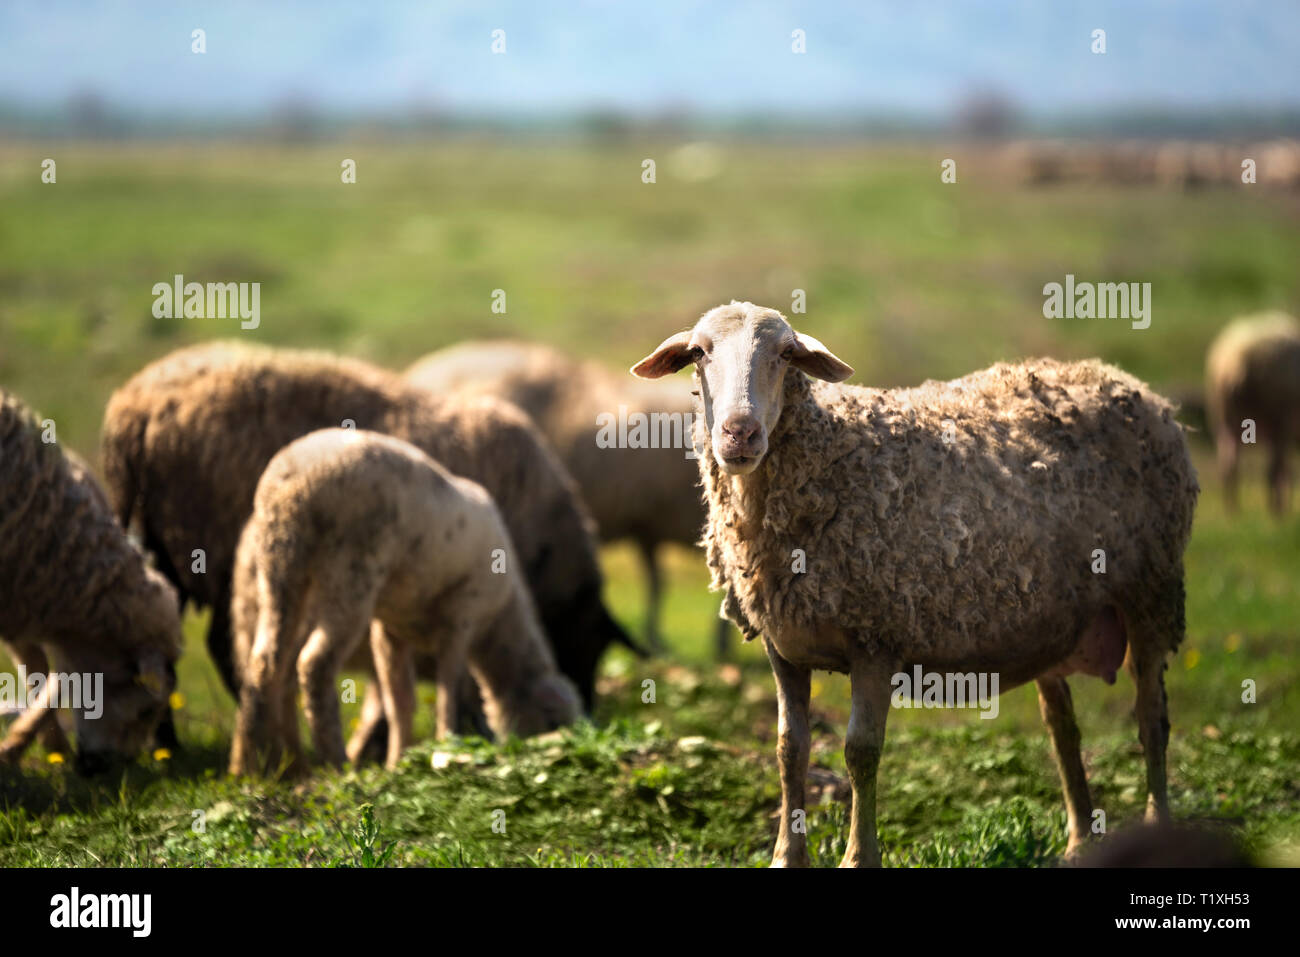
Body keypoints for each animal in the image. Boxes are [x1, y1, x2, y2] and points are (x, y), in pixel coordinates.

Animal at [228, 429, 580, 774]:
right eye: (553, 721)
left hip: (281, 566)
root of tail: (294, 476)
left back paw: (271, 767)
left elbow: (401, 699)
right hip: (351, 568)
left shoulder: (391, 628)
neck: (498, 622)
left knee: (267, 662)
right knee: (314, 663)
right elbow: (449, 691)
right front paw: (446, 745)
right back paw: (338, 765)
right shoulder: (462, 614)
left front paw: (399, 761)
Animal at [633, 301, 1199, 867]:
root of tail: (1124, 381)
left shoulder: (877, 639)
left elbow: (860, 752)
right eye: (699, 353)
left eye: (787, 354)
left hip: (1152, 590)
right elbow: (789, 749)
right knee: (1063, 727)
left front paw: (859, 856)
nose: (740, 434)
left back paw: (1158, 824)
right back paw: (1080, 839)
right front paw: (786, 856)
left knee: (1151, 719)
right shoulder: (783, 646)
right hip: (1056, 618)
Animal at [1205, 312, 1300, 514]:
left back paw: (1233, 510)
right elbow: (1284, 469)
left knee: (1229, 464)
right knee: (1273, 468)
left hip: (1224, 414)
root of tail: (1238, 365)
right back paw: (1276, 512)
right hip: (1277, 414)